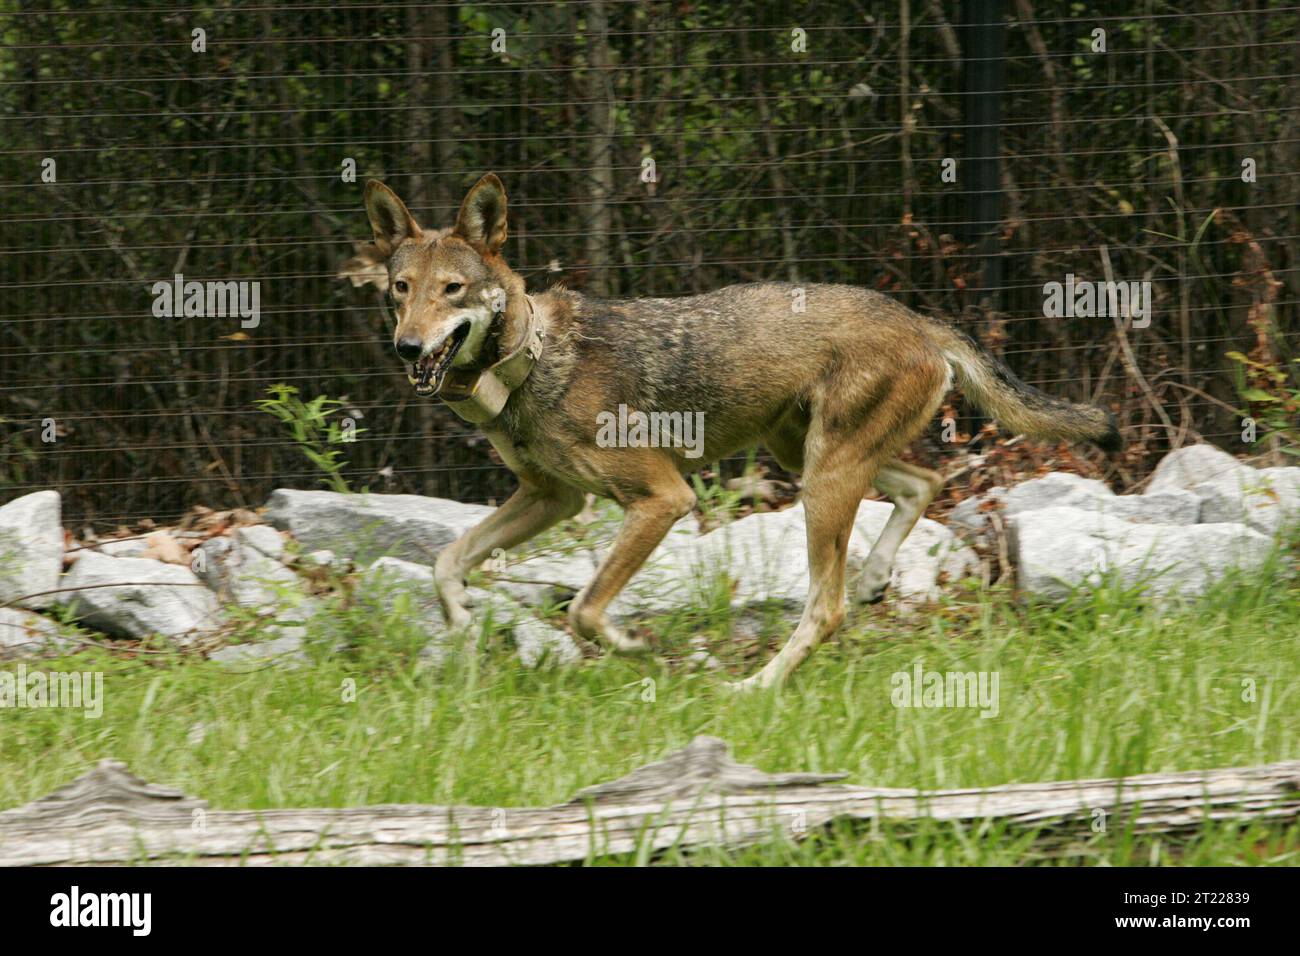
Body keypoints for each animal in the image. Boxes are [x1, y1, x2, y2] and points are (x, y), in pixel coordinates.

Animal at [338, 173, 1120, 689]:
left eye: (453, 292)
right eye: (402, 290)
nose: (408, 348)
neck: (533, 359)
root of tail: (923, 322)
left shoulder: (662, 500)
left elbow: (587, 611)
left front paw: (634, 647)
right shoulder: (552, 499)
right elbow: (447, 563)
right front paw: (464, 628)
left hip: (820, 481)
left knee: (827, 606)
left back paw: (757, 688)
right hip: (806, 457)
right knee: (923, 483)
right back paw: (872, 578)